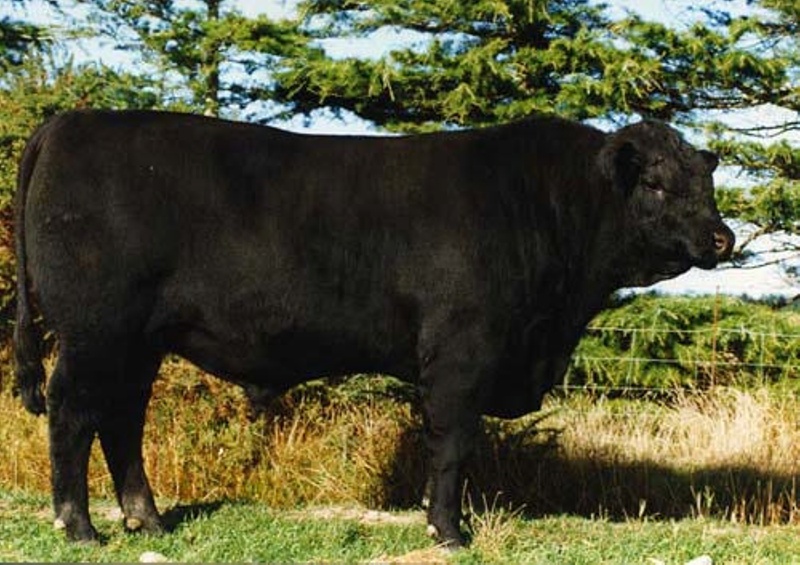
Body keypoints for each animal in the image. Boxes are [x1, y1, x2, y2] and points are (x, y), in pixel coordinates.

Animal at [13, 109, 734, 547]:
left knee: (121, 419)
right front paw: (449, 531)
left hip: (139, 341)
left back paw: (149, 519)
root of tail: (74, 119)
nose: (723, 237)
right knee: (73, 413)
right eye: (657, 185)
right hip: (95, 332)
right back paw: (79, 526)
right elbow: (452, 445)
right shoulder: (462, 351)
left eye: (705, 182)